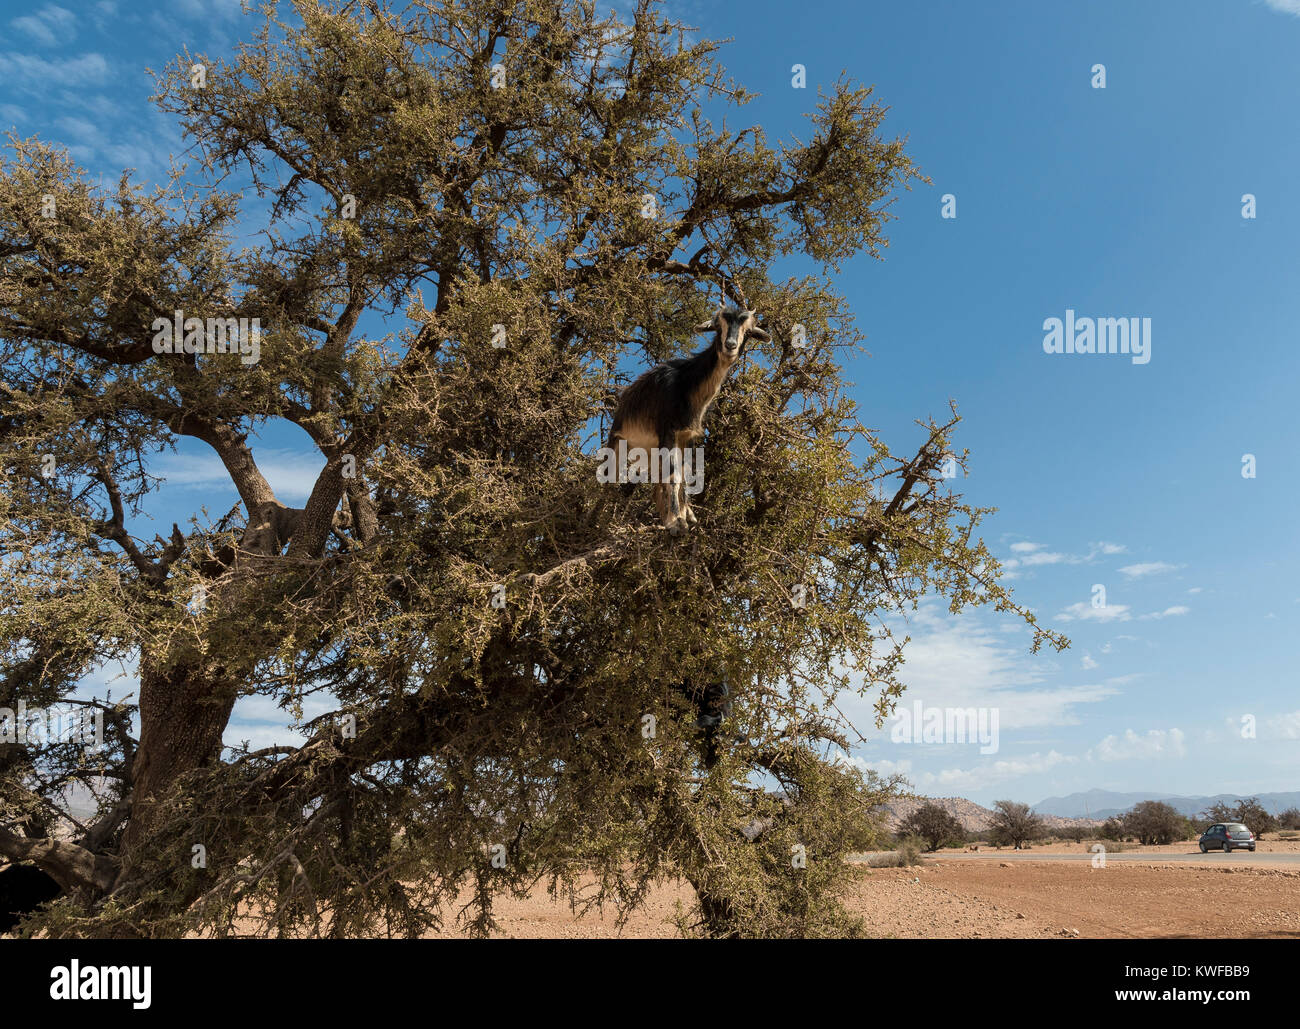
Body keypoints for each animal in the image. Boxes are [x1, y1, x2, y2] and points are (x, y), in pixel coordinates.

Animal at [607, 306, 769, 533]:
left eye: (748, 331)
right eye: (718, 326)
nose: (730, 346)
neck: (686, 383)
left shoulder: (686, 436)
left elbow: (684, 474)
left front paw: (685, 516)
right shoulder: (667, 430)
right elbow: (673, 475)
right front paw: (676, 522)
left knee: (655, 485)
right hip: (619, 440)